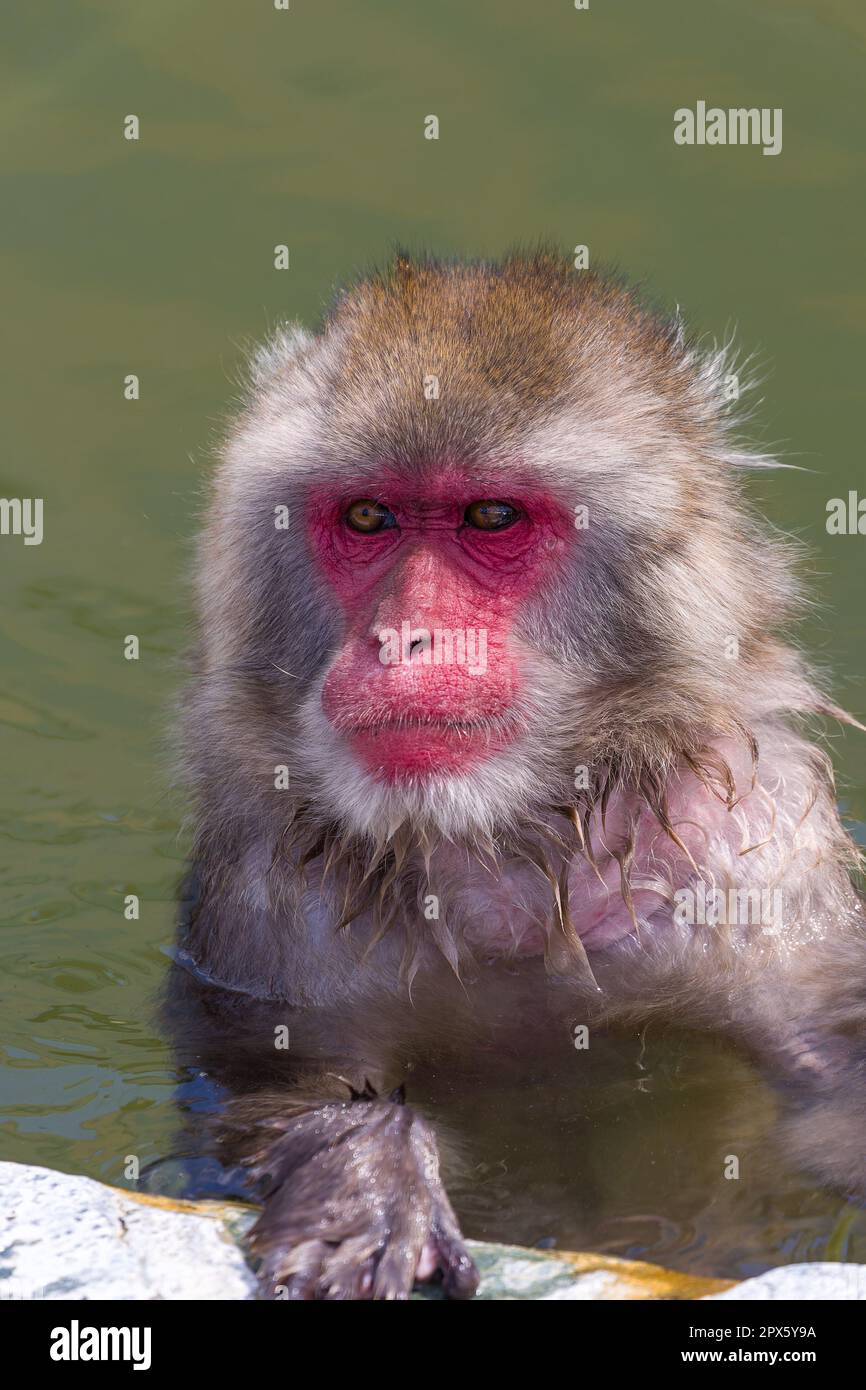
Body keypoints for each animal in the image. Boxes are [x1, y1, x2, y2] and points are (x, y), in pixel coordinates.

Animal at [168, 250, 866, 1300]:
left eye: (490, 516)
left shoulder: (763, 856)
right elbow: (264, 1086)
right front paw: (364, 1176)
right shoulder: (265, 897)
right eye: (368, 516)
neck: (502, 843)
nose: (405, 639)